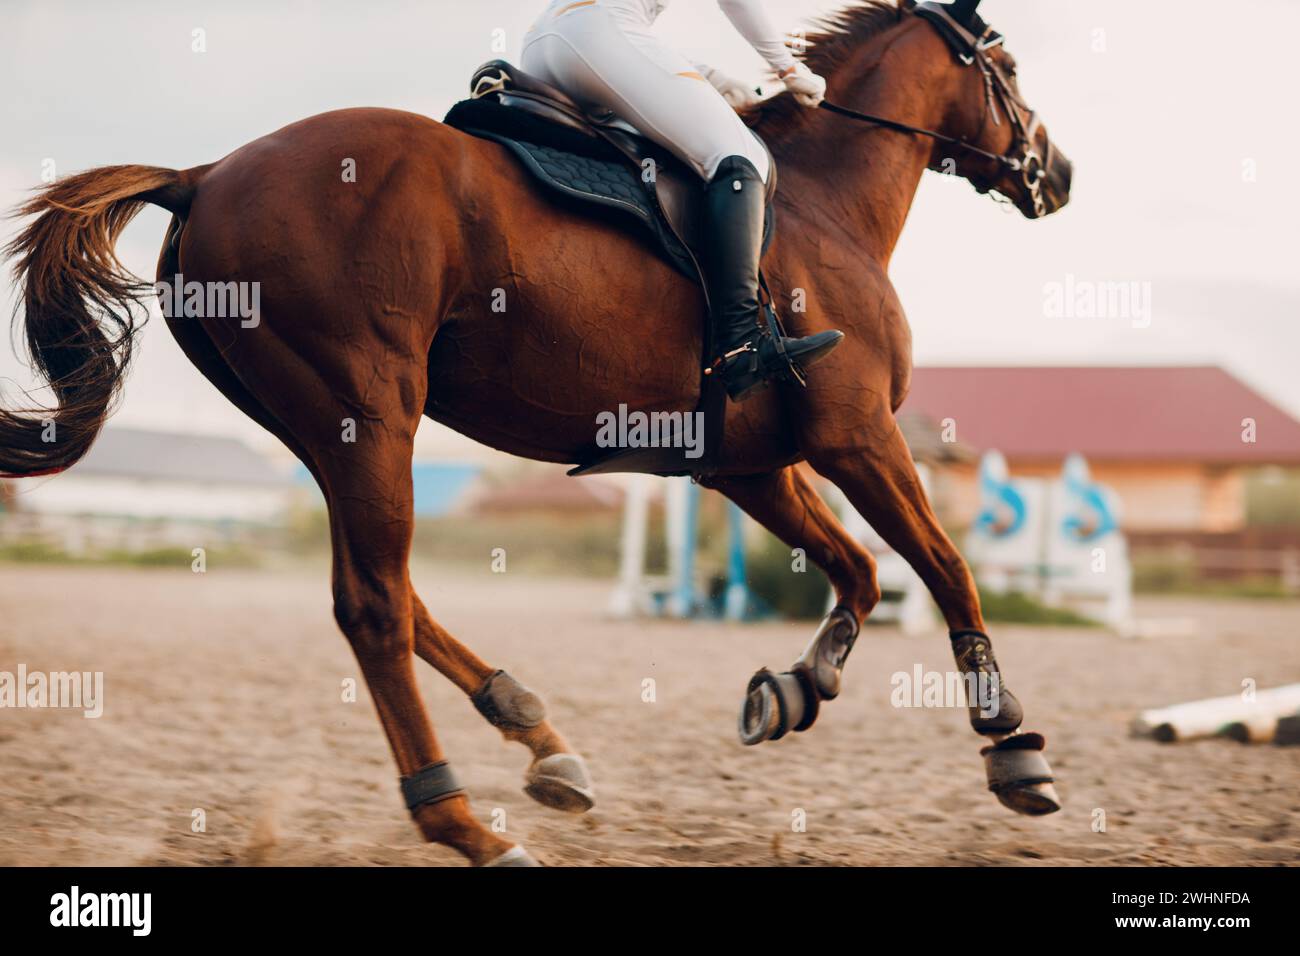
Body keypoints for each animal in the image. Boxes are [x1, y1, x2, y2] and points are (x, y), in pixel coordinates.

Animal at [1, 0, 1072, 865]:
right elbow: (941, 564)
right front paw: (1010, 741)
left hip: (323, 430)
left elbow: (857, 569)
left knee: (395, 593)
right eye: (1011, 70)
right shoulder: (857, 435)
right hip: (371, 415)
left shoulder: (749, 465)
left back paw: (539, 737)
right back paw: (466, 825)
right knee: (374, 608)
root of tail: (207, 171)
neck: (821, 204)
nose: (1056, 173)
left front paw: (797, 685)